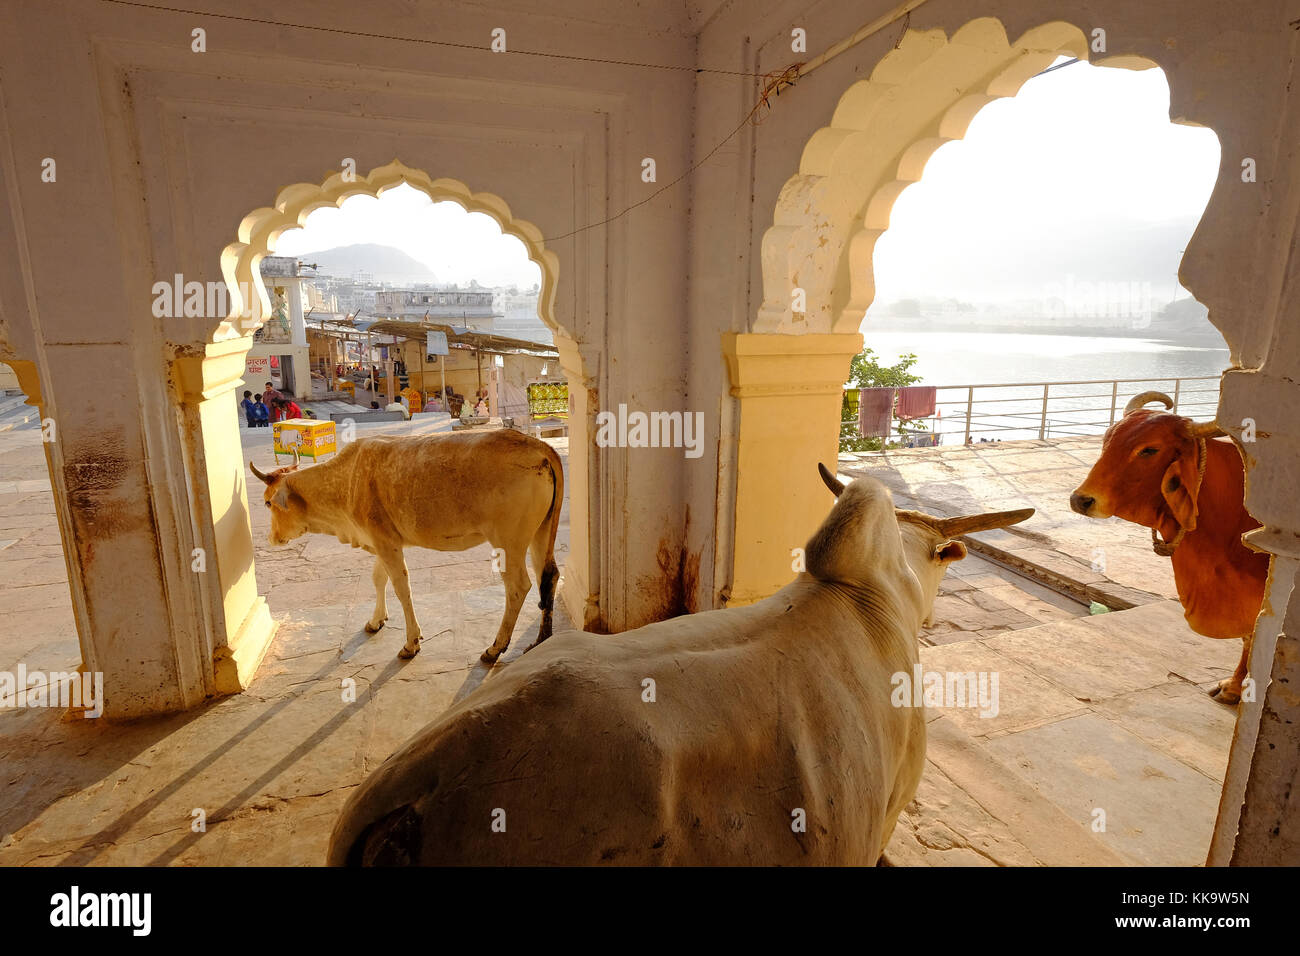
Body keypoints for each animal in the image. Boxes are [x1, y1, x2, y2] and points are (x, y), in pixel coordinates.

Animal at [249, 429, 563, 664]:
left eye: (267, 502)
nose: (271, 538)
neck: (346, 480)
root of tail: (539, 446)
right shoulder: (383, 541)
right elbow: (378, 579)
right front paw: (376, 620)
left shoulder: (386, 543)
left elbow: (401, 587)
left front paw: (411, 643)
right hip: (539, 533)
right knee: (548, 576)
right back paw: (541, 640)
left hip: (508, 542)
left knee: (518, 587)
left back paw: (495, 648)